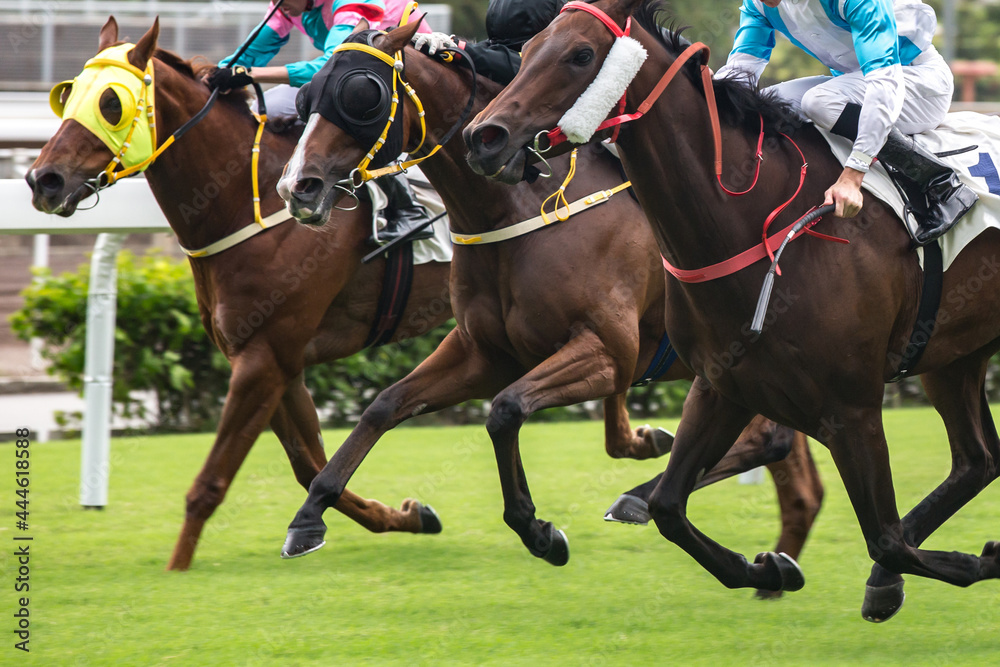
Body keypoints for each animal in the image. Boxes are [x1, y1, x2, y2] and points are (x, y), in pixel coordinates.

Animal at [26, 17, 452, 571]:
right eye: (69, 94)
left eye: (111, 104)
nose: (43, 179)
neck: (254, 202)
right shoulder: (277, 361)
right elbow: (310, 466)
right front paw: (408, 516)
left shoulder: (263, 358)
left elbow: (211, 481)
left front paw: (177, 568)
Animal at [275, 19, 823, 592]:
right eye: (308, 96)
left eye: (362, 94)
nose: (297, 186)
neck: (519, 212)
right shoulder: (485, 353)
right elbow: (385, 404)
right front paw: (309, 516)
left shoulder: (608, 355)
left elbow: (505, 411)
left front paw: (538, 531)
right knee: (772, 440)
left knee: (770, 440)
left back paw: (648, 501)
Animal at [466, 0, 1000, 621]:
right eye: (527, 51)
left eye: (580, 54)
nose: (483, 137)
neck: (761, 225)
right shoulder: (723, 384)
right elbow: (670, 508)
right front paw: (770, 567)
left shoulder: (853, 408)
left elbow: (886, 539)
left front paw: (974, 561)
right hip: (954, 356)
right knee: (977, 460)